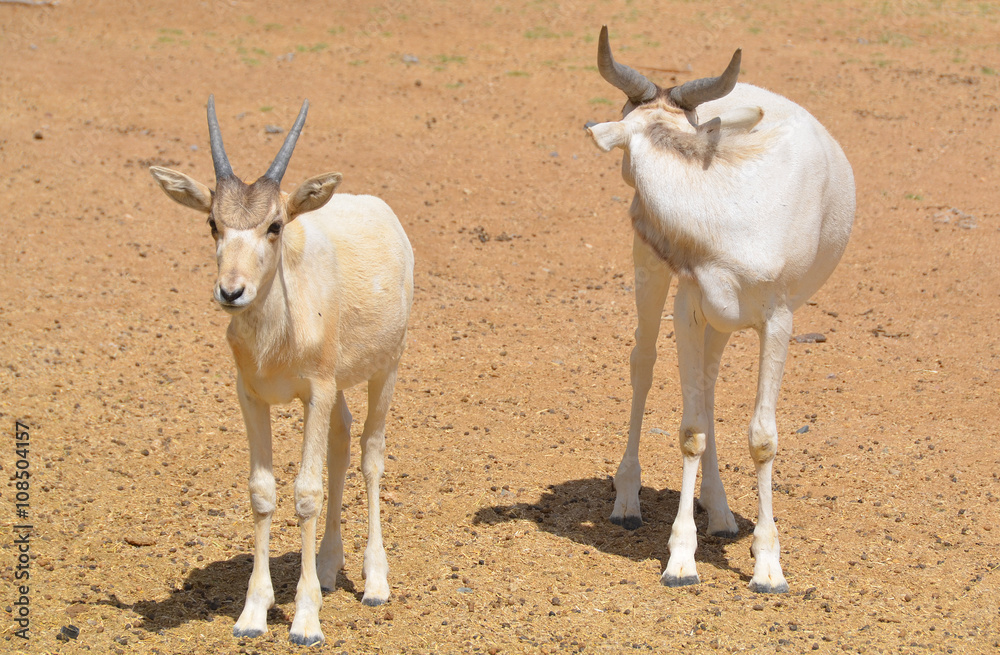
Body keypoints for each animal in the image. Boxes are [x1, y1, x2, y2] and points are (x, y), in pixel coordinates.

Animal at [149, 96, 414, 644]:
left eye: (274, 225)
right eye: (212, 223)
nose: (231, 291)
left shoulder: (314, 391)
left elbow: (306, 493)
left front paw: (305, 619)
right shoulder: (252, 395)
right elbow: (263, 493)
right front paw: (253, 613)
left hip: (387, 368)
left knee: (371, 452)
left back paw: (375, 582)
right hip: (338, 387)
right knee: (342, 438)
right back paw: (330, 568)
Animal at [587, 27, 854, 592]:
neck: (732, 210)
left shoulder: (778, 320)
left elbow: (762, 439)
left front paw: (768, 566)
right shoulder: (689, 305)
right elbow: (691, 432)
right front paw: (680, 561)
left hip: (726, 321)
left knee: (707, 386)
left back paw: (724, 515)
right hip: (651, 264)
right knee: (643, 362)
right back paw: (628, 501)